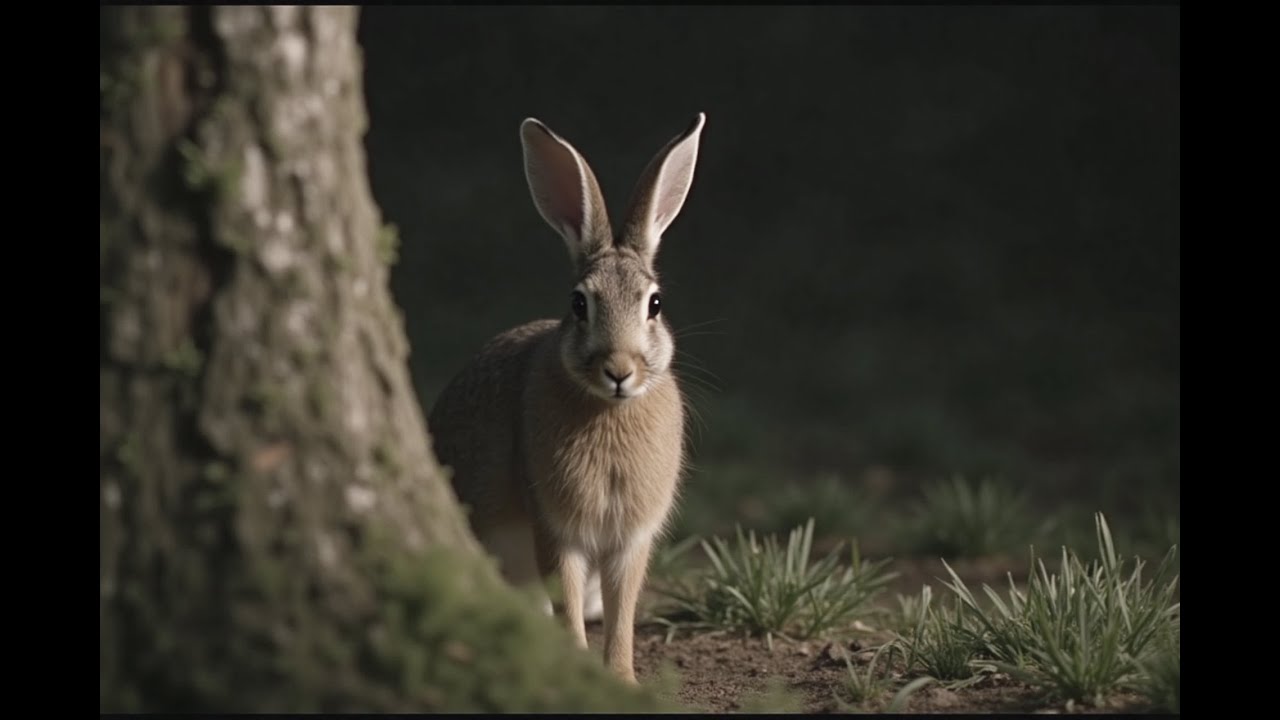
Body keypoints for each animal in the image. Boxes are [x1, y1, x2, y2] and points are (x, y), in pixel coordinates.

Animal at [427, 112, 706, 684]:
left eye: (655, 304)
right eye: (579, 304)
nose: (619, 371)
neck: (609, 408)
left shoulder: (630, 539)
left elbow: (623, 614)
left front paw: (623, 679)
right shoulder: (557, 529)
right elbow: (567, 601)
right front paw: (582, 667)